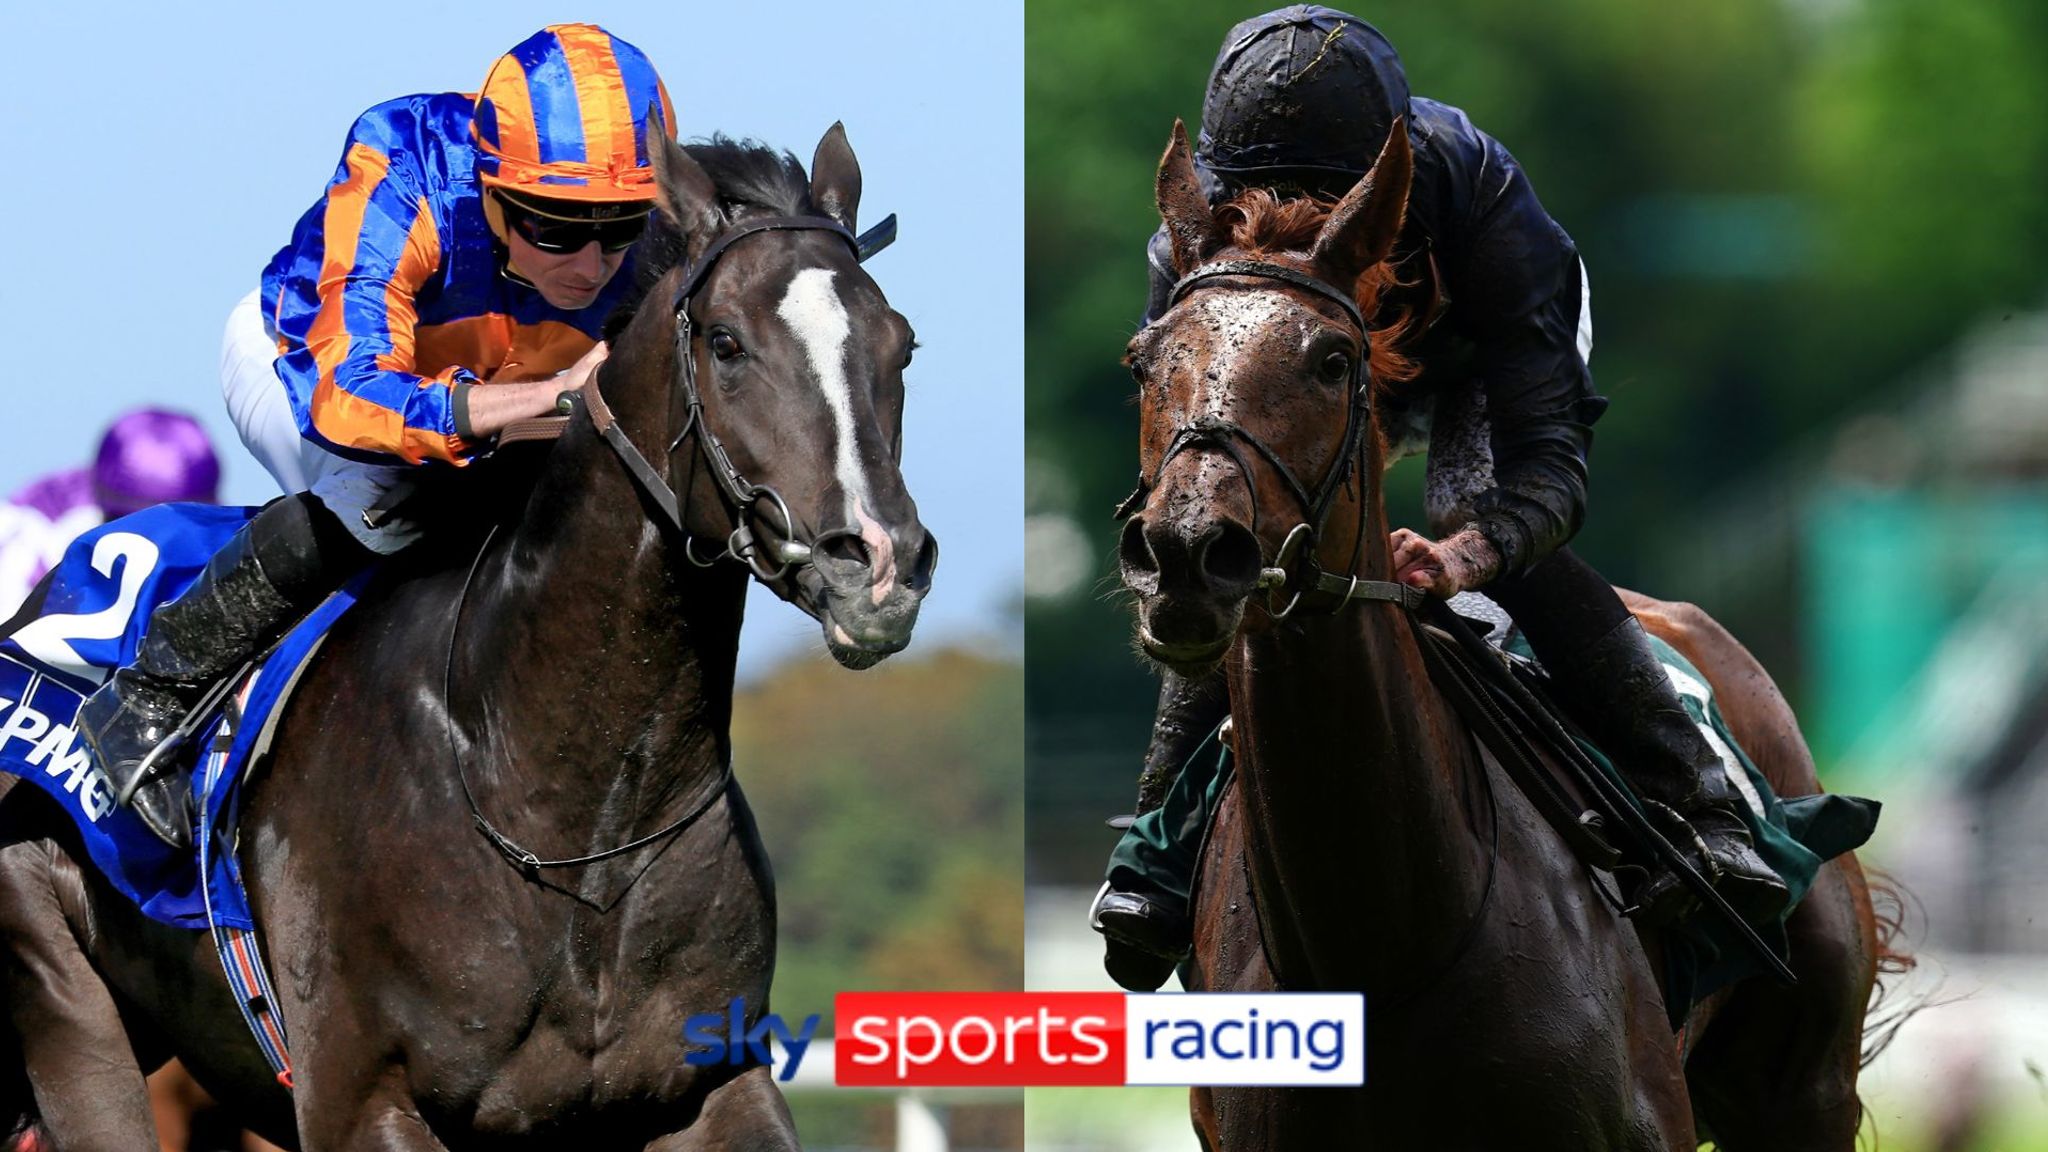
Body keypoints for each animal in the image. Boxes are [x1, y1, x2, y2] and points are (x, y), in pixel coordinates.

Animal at [0, 122, 935, 1150]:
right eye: (726, 342)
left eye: (902, 345)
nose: (877, 563)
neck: (574, 818)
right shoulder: (362, 1100)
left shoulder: (712, 1083)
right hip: (63, 995)